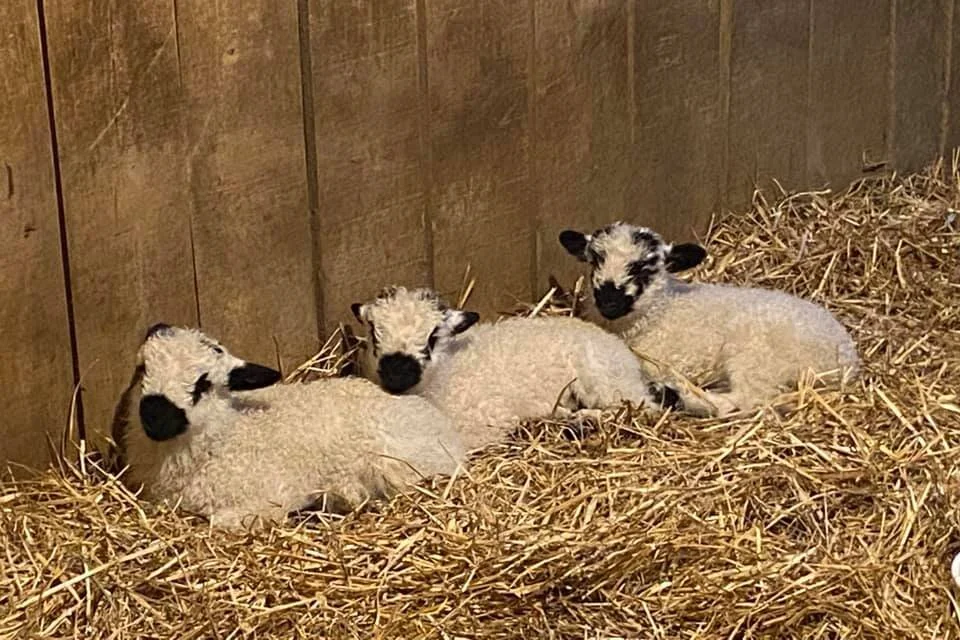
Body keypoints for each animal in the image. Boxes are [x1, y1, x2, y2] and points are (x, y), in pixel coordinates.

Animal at [350, 286, 693, 452]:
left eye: (432, 337)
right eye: (373, 333)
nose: (396, 372)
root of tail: (621, 350)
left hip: (606, 382)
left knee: (642, 408)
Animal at [558, 222, 861, 415]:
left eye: (645, 267)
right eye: (595, 259)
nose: (608, 301)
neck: (661, 310)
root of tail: (847, 362)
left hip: (756, 358)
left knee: (749, 400)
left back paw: (681, 398)